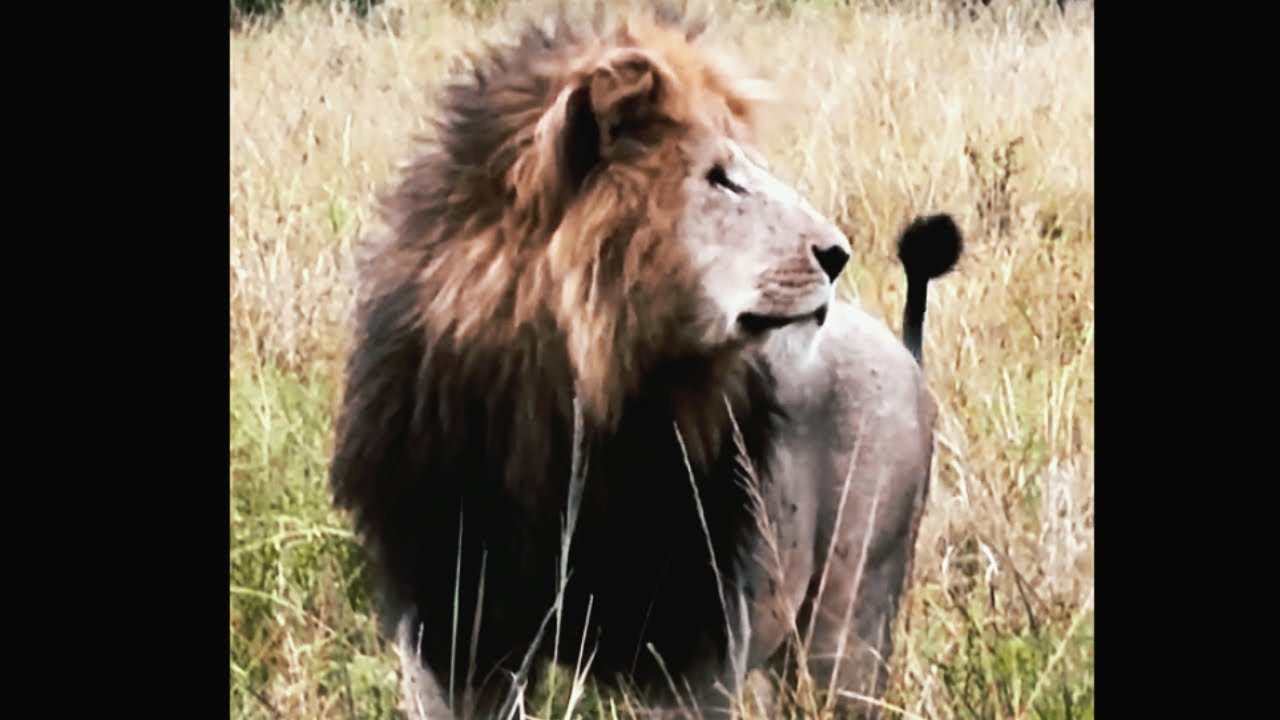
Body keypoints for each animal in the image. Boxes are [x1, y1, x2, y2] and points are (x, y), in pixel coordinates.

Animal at [329, 8, 962, 720]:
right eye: (720, 177)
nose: (838, 254)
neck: (569, 397)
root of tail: (903, 351)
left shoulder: (694, 647)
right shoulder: (453, 634)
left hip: (849, 626)